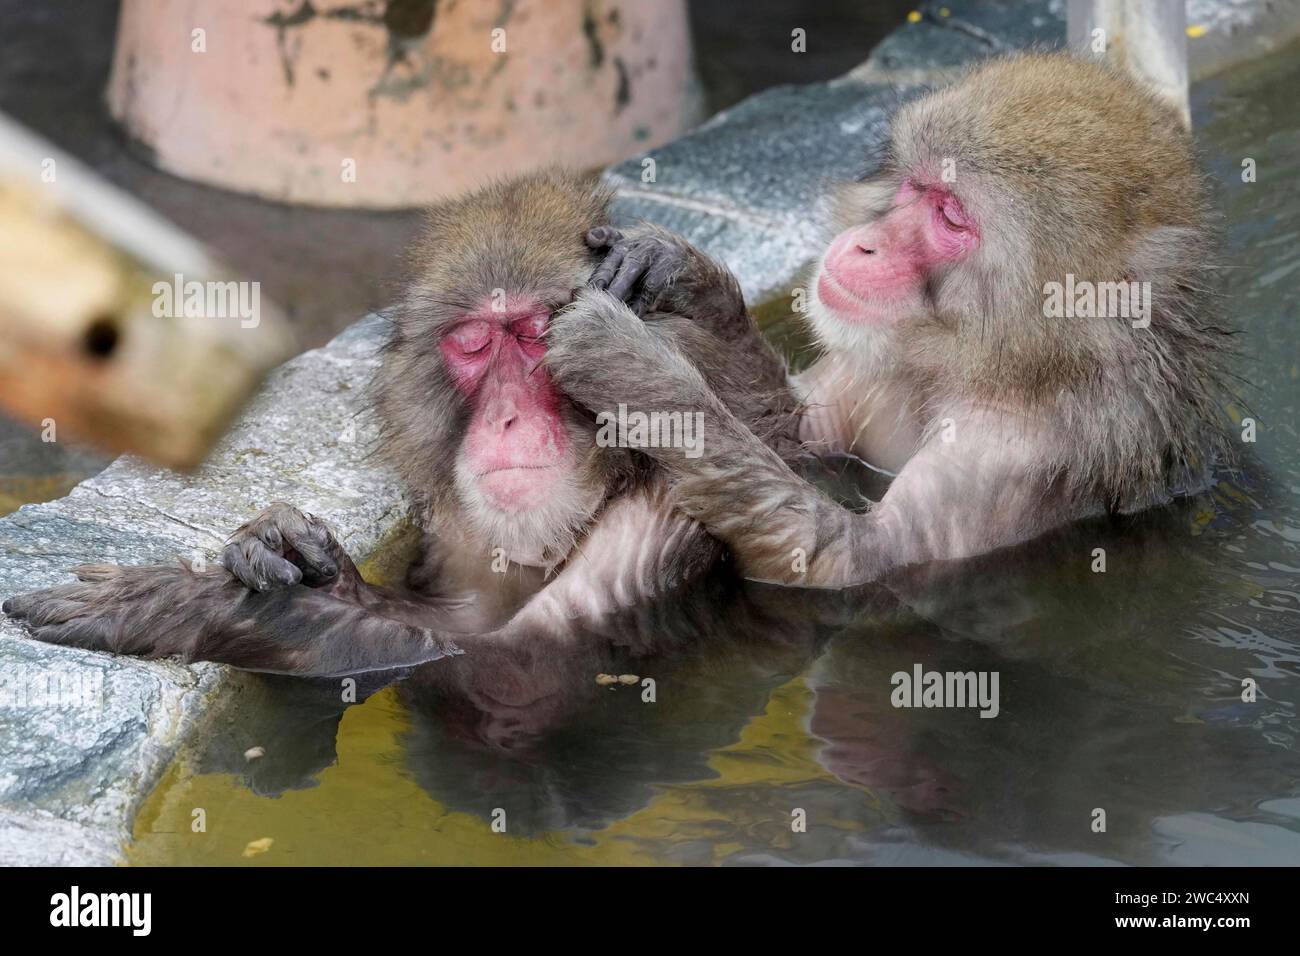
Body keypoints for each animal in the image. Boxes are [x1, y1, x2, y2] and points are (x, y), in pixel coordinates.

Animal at [3, 170, 803, 675]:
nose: (507, 417)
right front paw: (288, 550)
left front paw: (211, 606)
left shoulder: (657, 522)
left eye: (538, 333)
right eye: (473, 343)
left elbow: (496, 658)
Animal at [544, 52, 1234, 589]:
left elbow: (852, 560)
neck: (1007, 364)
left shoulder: (1015, 450)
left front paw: (629, 366)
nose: (866, 243)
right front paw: (679, 273)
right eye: (916, 186)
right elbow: (799, 430)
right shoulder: (880, 362)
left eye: (951, 215)